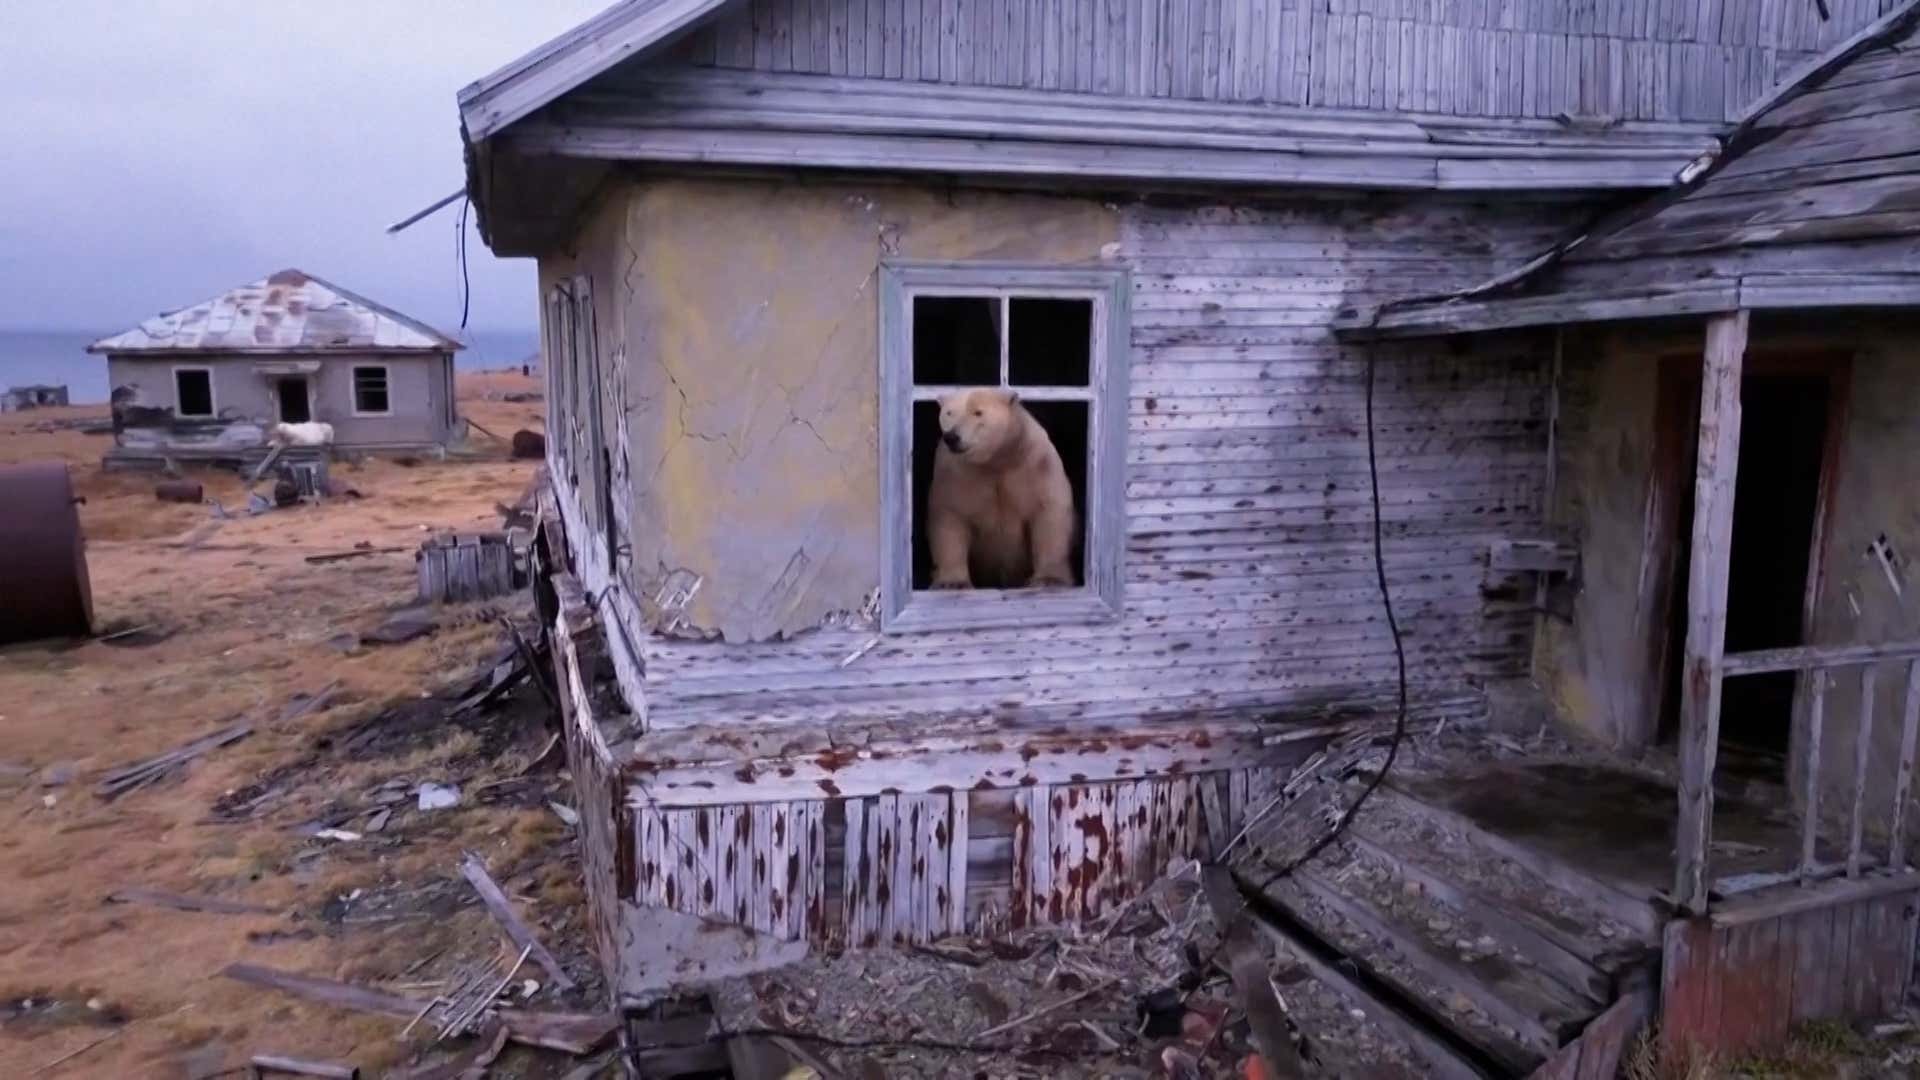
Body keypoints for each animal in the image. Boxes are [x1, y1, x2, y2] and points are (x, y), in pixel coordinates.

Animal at [926, 387, 1078, 590]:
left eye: (978, 412)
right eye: (949, 413)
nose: (952, 437)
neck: (997, 460)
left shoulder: (1036, 465)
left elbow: (1048, 514)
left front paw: (1049, 579)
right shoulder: (957, 474)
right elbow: (951, 516)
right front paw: (952, 582)